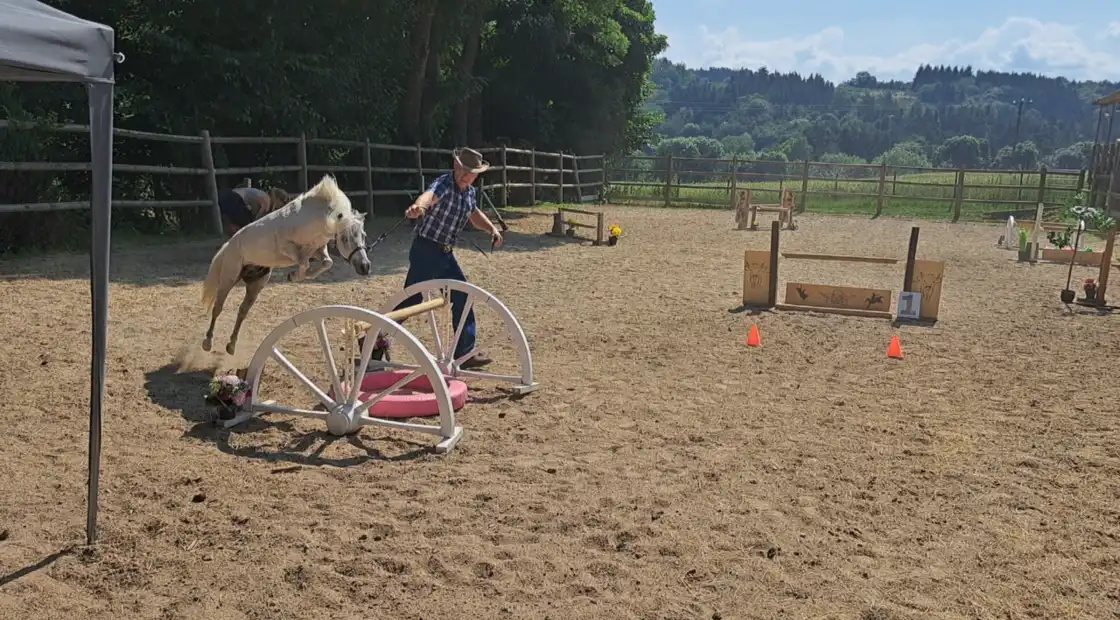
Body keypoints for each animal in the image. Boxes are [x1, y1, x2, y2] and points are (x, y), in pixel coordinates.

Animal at [200, 174, 372, 355]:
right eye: (345, 239)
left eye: (363, 235)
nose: (365, 266)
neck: (314, 220)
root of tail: (228, 245)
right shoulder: (287, 247)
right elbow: (303, 263)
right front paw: (294, 276)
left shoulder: (317, 249)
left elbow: (326, 262)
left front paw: (298, 276)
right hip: (229, 278)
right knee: (218, 307)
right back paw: (208, 342)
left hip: (256, 284)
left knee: (242, 311)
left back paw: (231, 345)